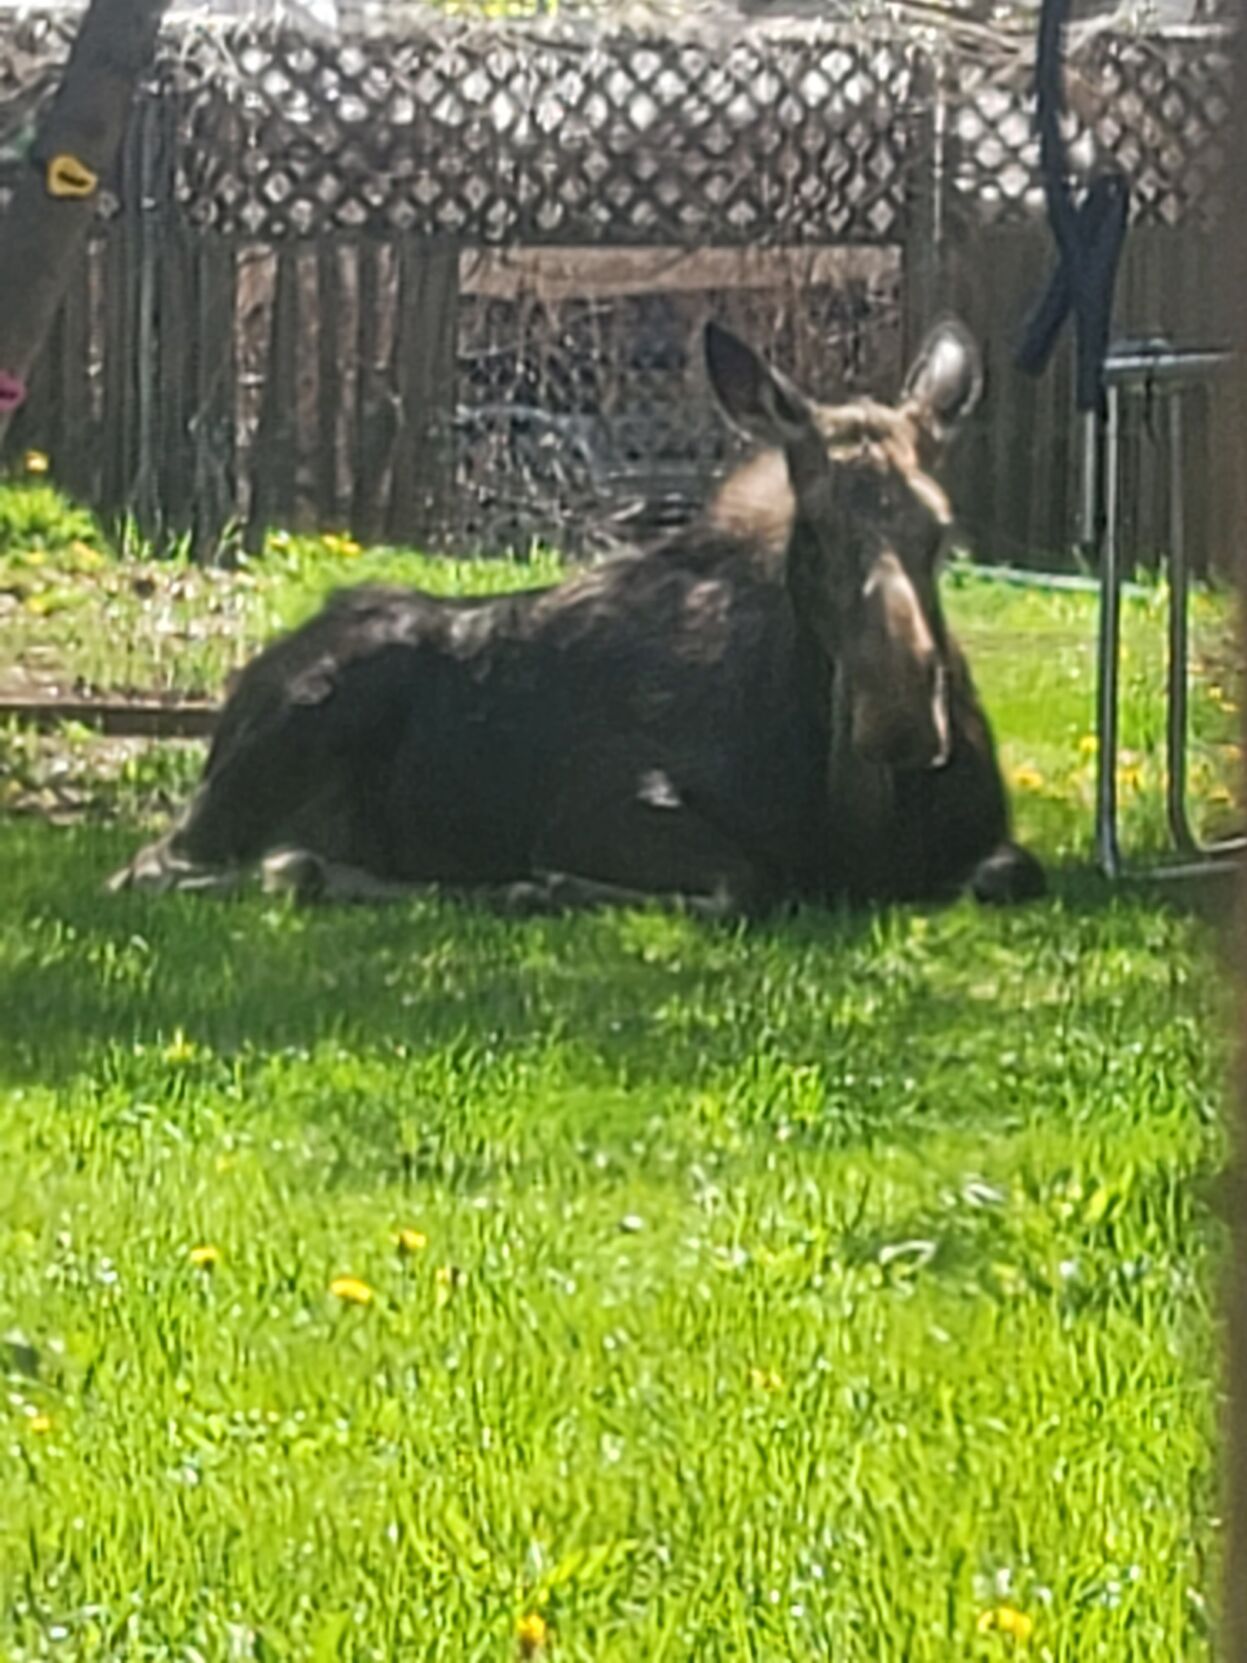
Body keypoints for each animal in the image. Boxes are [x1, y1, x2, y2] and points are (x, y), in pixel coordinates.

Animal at [107, 319, 1045, 917]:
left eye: (940, 527)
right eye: (809, 528)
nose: (899, 721)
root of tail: (241, 690)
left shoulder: (990, 845)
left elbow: (1013, 871)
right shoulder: (598, 802)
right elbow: (743, 885)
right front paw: (547, 884)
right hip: (272, 760)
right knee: (159, 867)